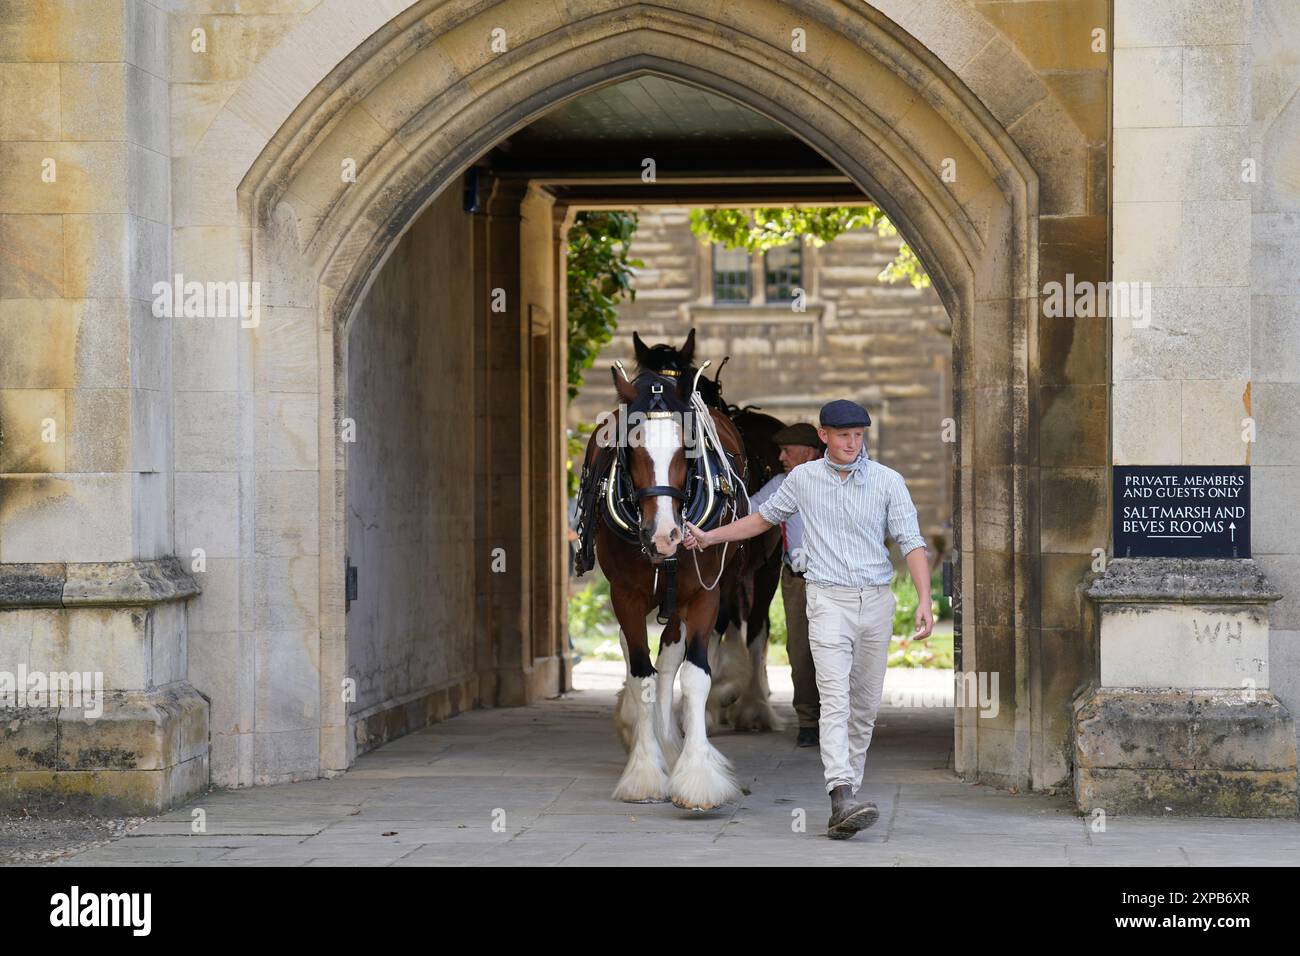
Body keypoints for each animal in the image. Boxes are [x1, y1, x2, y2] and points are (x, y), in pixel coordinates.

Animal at [579, 365, 749, 808]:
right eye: (631, 449)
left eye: (687, 449)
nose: (664, 536)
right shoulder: (625, 596)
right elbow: (643, 677)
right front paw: (644, 772)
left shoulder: (704, 595)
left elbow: (693, 676)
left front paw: (697, 774)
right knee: (637, 658)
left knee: (671, 658)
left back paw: (673, 745)